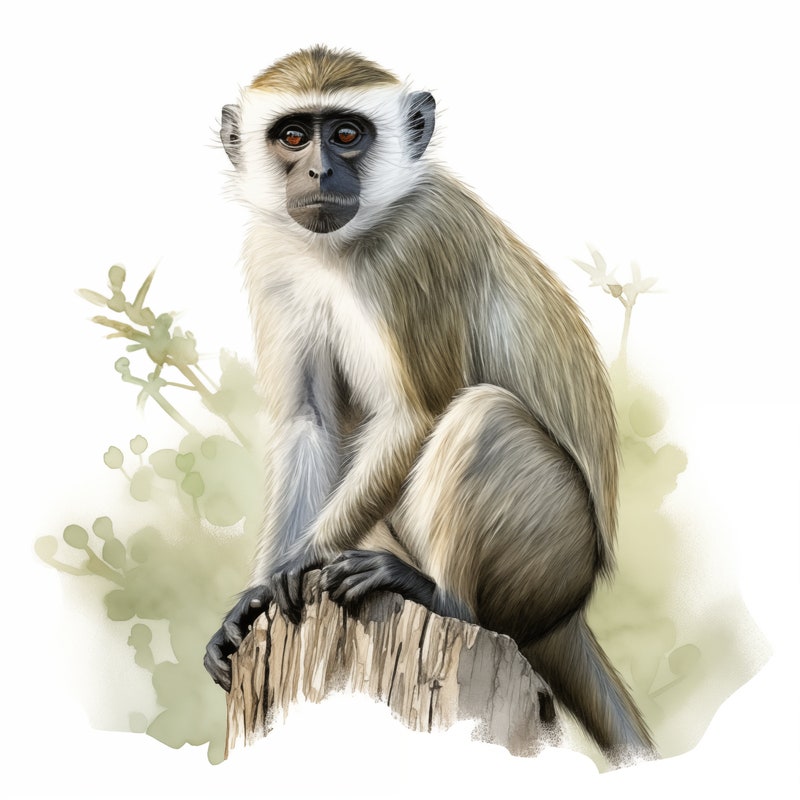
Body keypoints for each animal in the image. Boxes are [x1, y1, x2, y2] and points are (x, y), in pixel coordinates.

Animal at [203, 45, 655, 762]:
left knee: (482, 415)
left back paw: (440, 595)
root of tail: (569, 609)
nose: (318, 170)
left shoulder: (418, 244)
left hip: (554, 549)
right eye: (294, 136)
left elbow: (416, 414)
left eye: (347, 133)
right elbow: (309, 424)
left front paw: (303, 561)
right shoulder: (272, 255)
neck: (342, 247)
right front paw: (252, 600)